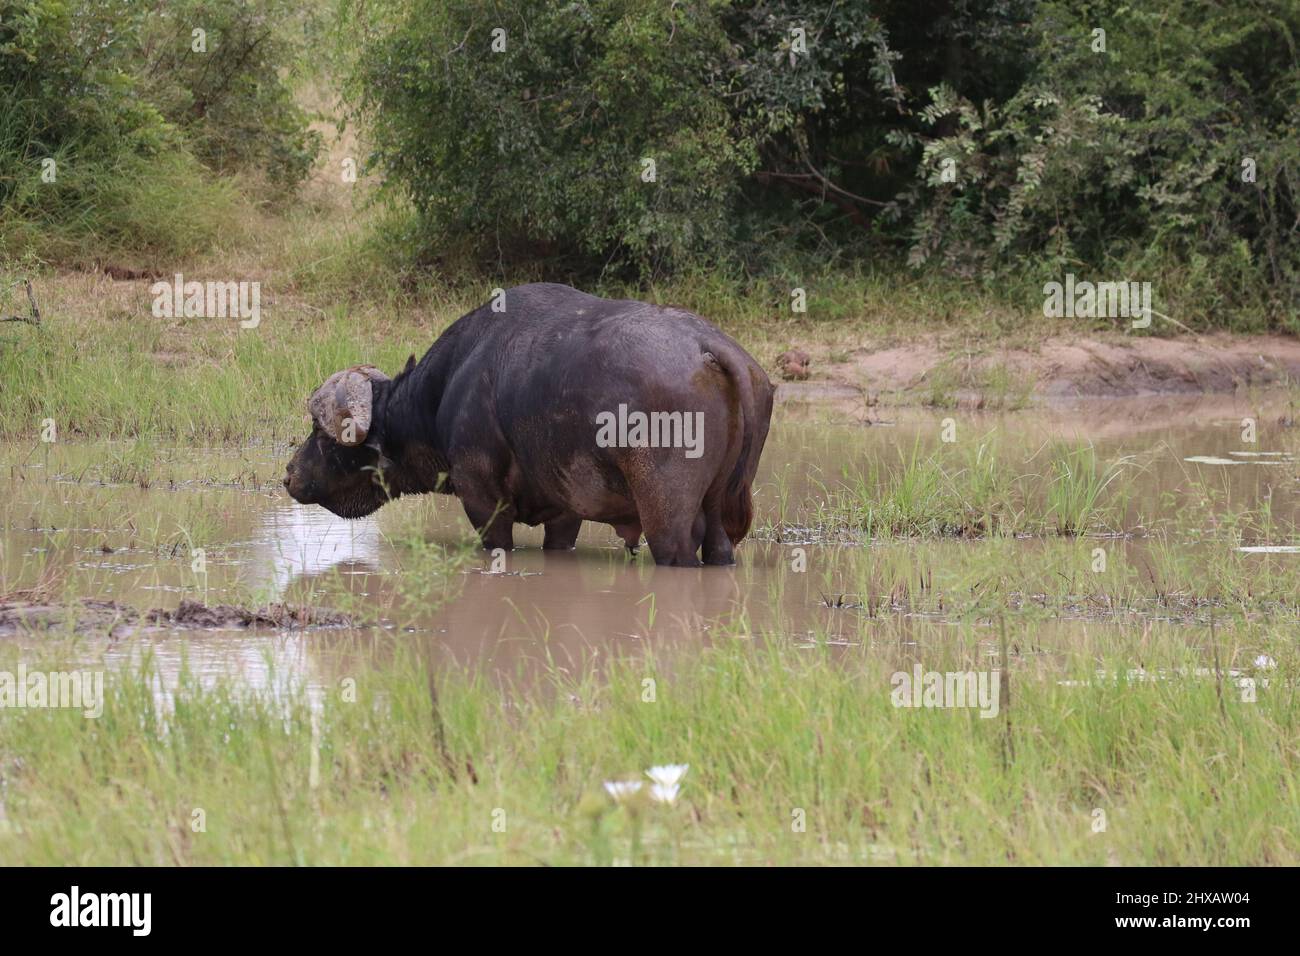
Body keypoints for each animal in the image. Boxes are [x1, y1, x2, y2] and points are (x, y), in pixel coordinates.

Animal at [283, 283, 774, 566]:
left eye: (321, 434)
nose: (289, 475)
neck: (444, 392)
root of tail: (707, 346)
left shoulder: (483, 501)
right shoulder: (565, 514)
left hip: (666, 520)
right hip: (721, 517)